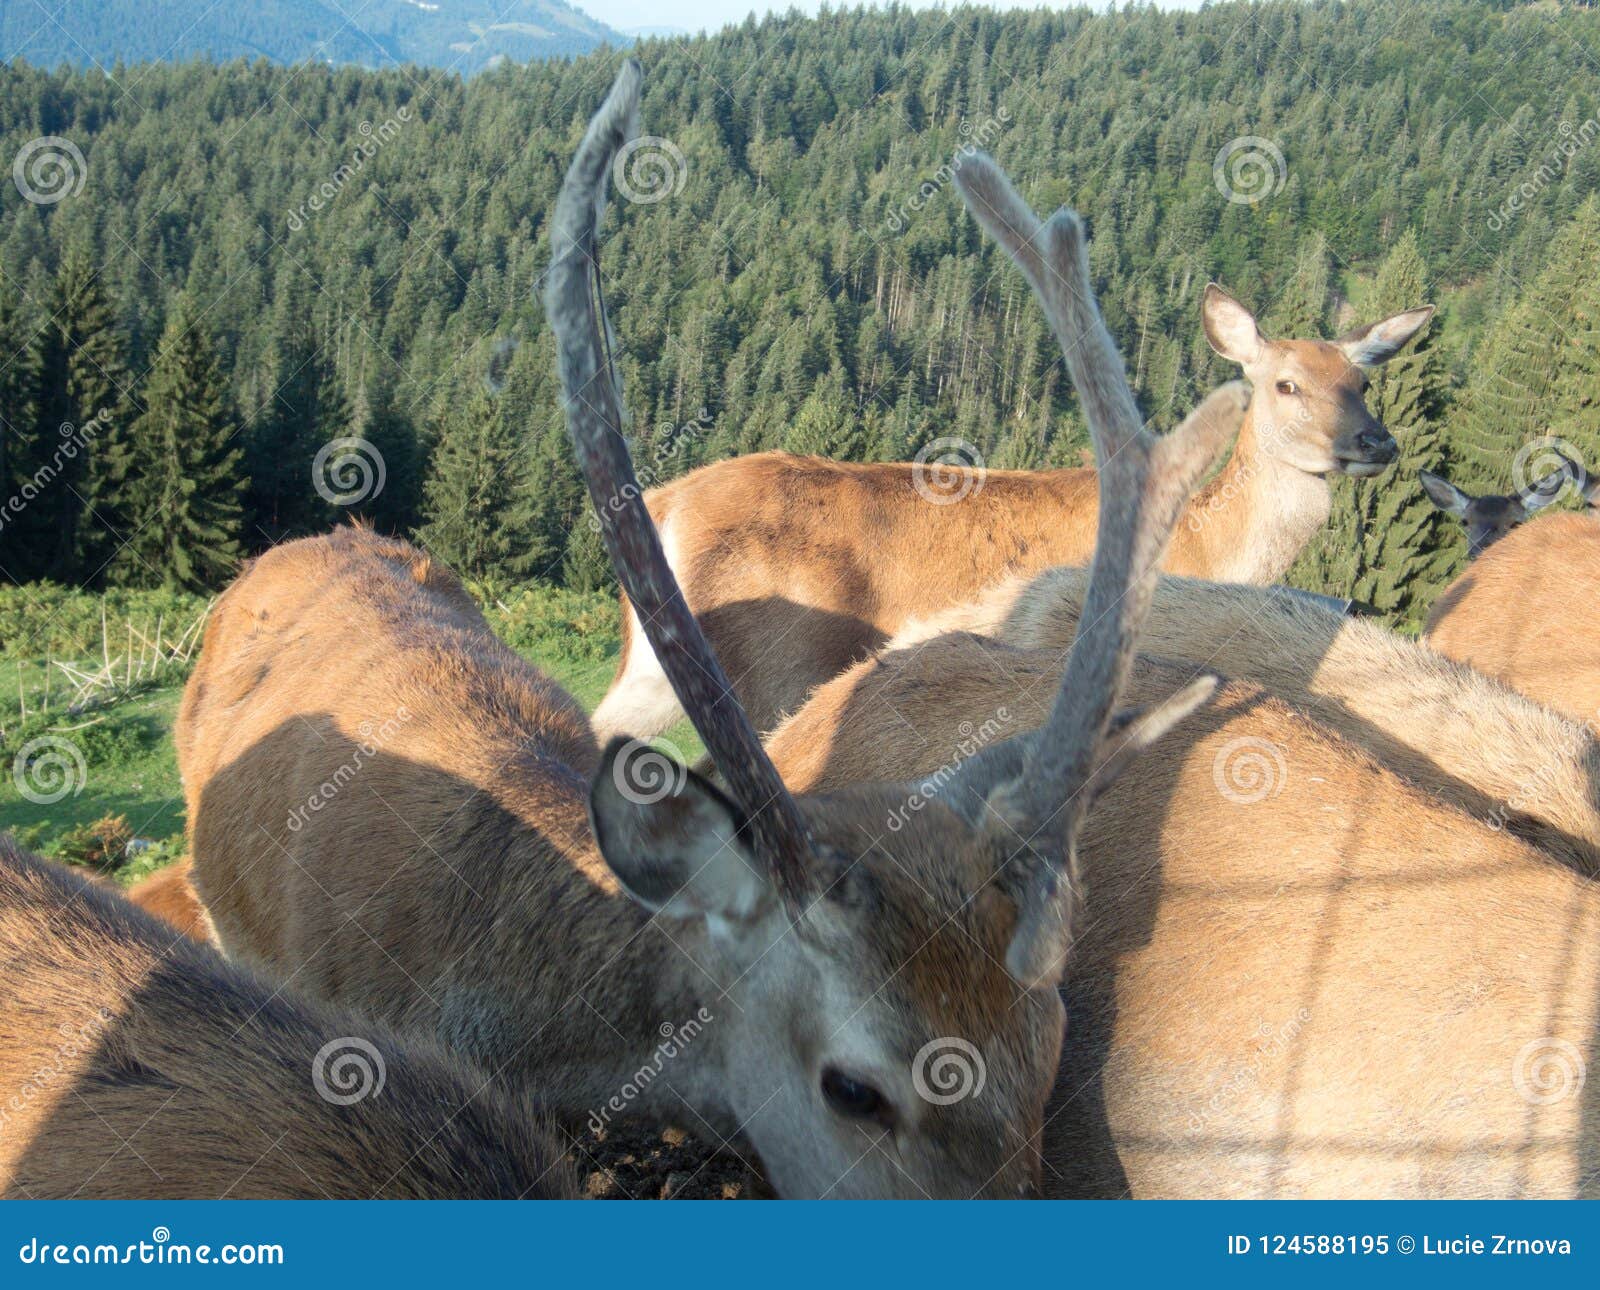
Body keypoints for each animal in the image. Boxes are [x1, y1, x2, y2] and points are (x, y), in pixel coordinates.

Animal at [592, 271, 1432, 742]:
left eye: (1363, 381)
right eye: (1286, 383)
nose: (1377, 440)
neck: (1212, 544)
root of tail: (662, 500)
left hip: (659, 664)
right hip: (776, 661)